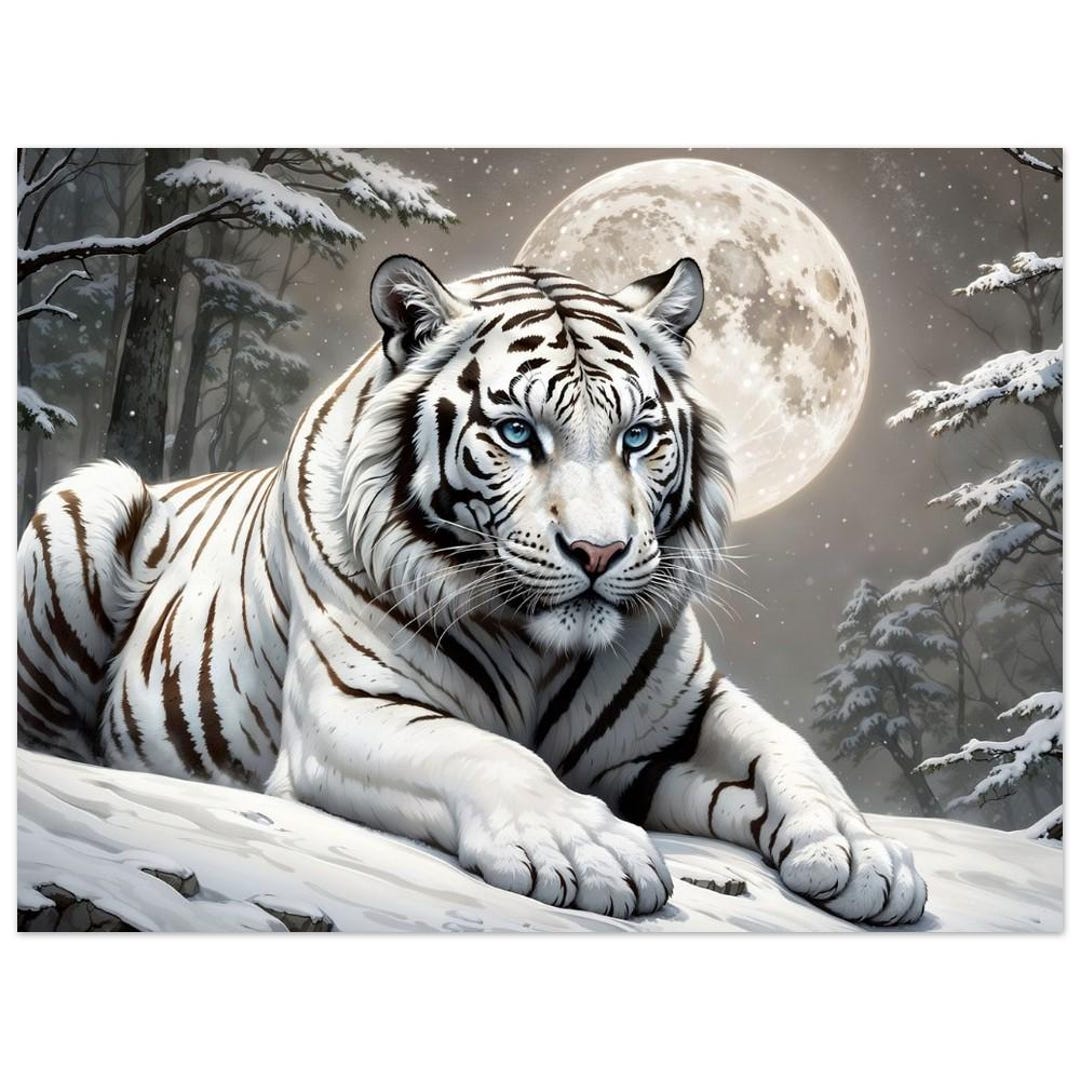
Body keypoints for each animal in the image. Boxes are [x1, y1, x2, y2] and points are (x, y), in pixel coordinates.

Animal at [17, 254, 927, 925]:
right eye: (518, 433)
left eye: (637, 436)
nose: (598, 550)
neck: (540, 643)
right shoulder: (351, 708)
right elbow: (486, 752)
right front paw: (589, 852)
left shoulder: (679, 721)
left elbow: (793, 753)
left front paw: (861, 854)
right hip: (93, 496)